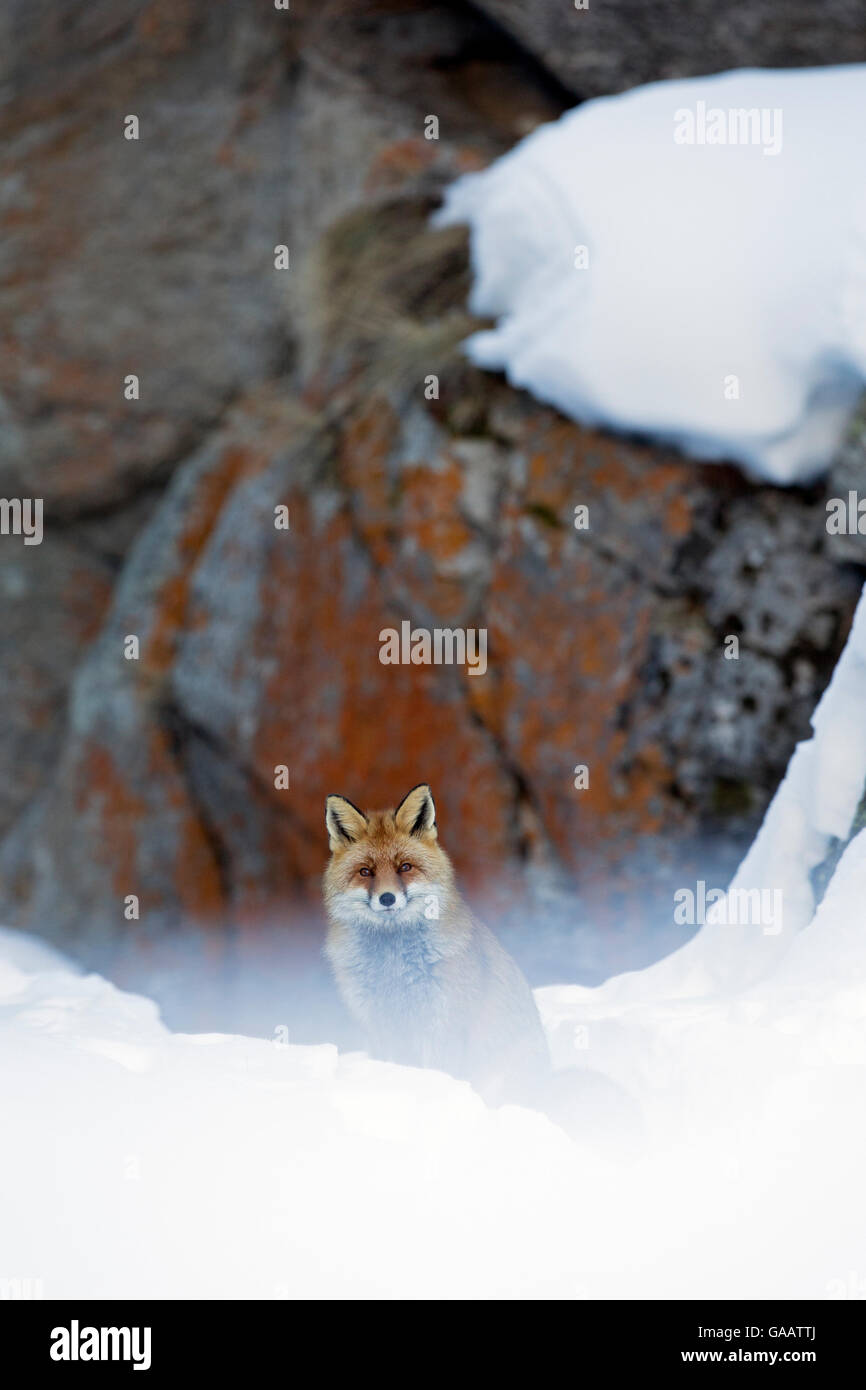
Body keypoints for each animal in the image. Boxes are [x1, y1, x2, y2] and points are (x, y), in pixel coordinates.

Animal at [322, 783, 551, 1106]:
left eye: (405, 867)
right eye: (365, 872)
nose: (387, 898)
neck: (393, 968)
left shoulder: (442, 1024)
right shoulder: (377, 1024)